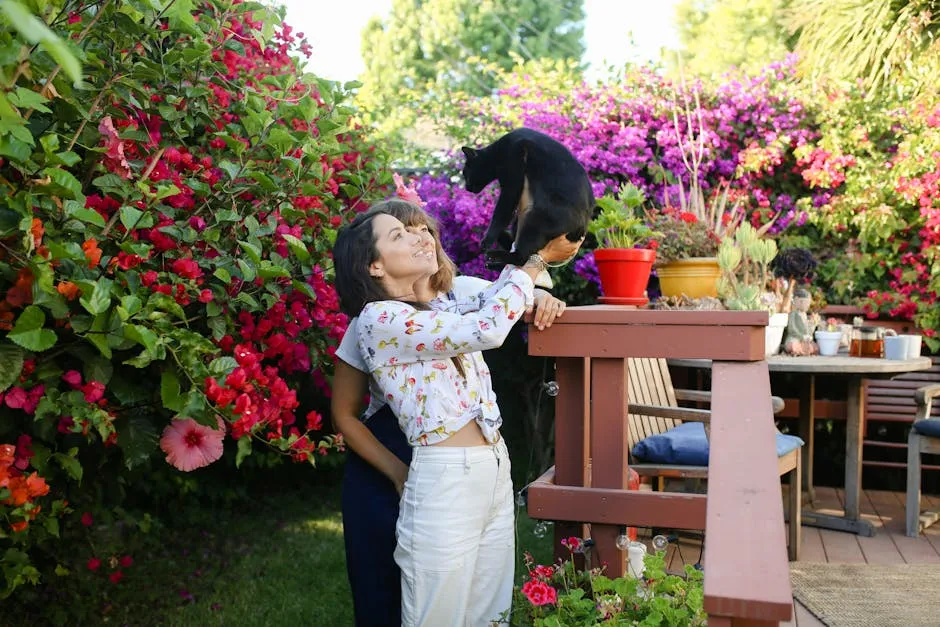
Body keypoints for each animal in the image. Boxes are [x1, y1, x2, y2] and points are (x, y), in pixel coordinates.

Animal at [462, 129, 596, 284]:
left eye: (465, 173)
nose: (466, 188)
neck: (499, 152)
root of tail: (583, 226)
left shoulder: (511, 185)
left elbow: (500, 213)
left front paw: (487, 240)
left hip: (534, 219)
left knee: (521, 257)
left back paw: (495, 256)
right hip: (522, 220)